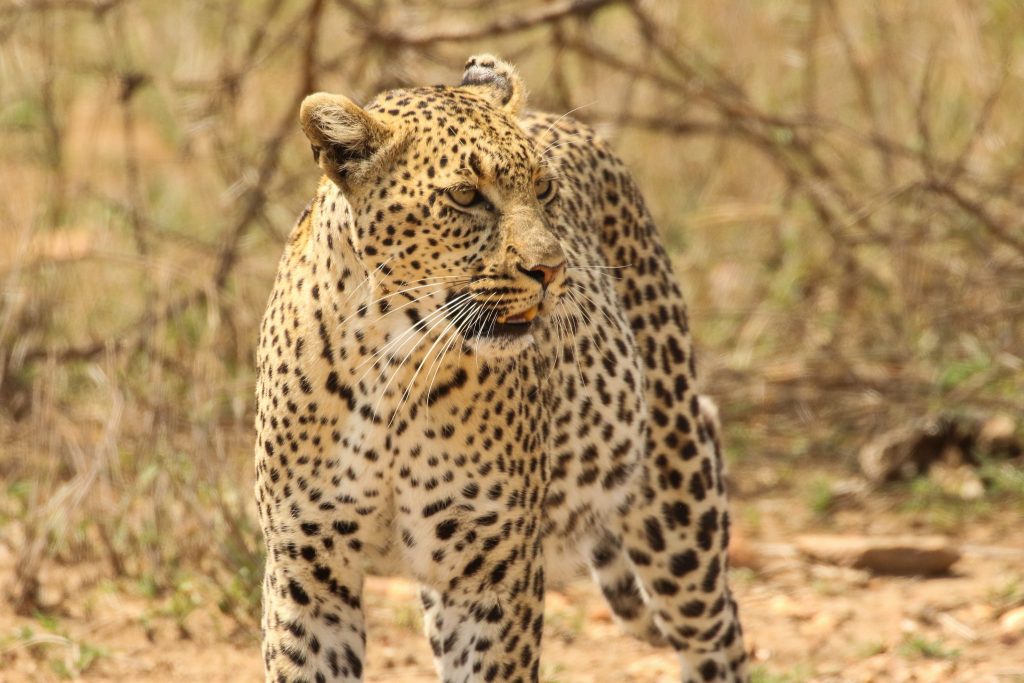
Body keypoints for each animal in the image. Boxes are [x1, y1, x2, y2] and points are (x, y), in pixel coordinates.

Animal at [254, 54, 749, 683]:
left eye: (544, 189)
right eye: (466, 196)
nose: (551, 269)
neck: (393, 364)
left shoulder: (491, 570)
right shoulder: (307, 570)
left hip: (676, 502)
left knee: (718, 633)